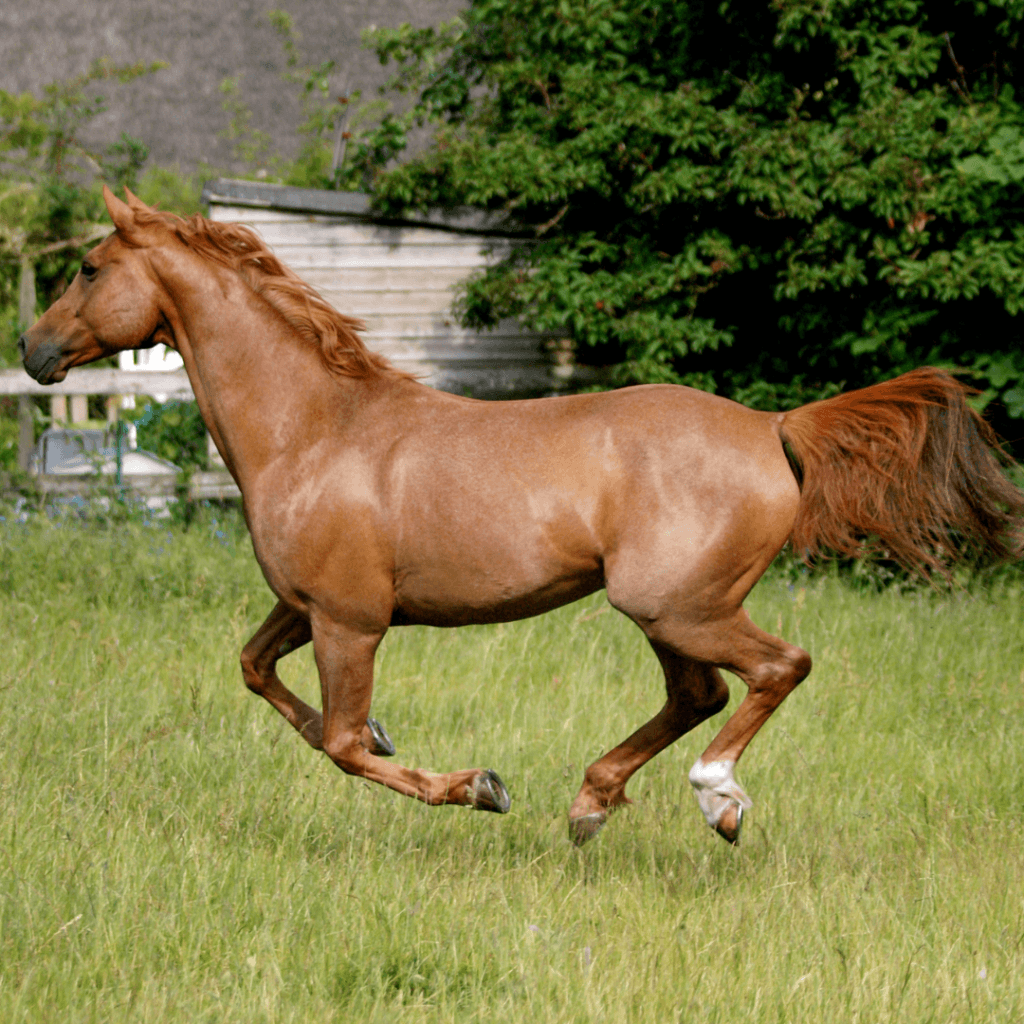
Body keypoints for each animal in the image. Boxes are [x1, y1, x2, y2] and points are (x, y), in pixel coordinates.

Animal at [20, 186, 1024, 847]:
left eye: (88, 267)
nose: (32, 351)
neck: (314, 427)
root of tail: (772, 426)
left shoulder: (350, 620)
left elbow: (342, 745)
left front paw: (482, 787)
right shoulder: (304, 606)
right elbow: (257, 671)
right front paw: (393, 736)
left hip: (678, 605)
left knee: (778, 668)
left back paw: (717, 798)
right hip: (671, 614)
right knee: (697, 694)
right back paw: (590, 804)